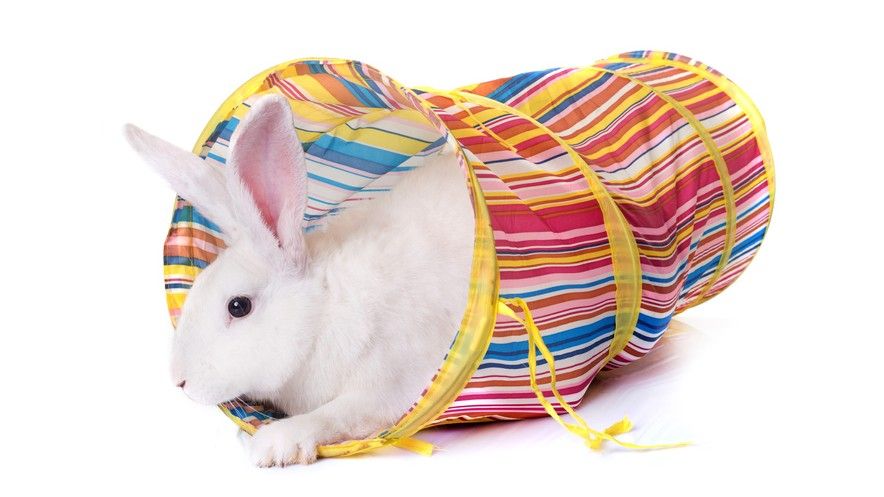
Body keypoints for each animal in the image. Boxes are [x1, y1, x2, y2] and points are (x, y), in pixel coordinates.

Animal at [124, 93, 475, 467]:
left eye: (238, 306)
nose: (180, 381)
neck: (323, 310)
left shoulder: (391, 382)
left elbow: (337, 414)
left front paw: (273, 445)